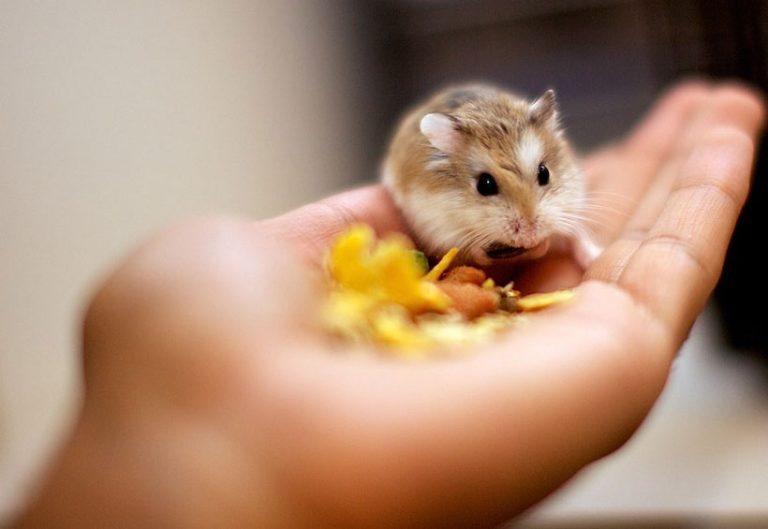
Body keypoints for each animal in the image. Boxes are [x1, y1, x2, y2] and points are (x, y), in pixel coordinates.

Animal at [381, 83, 600, 269]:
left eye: (544, 173)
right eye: (485, 185)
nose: (530, 237)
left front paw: (543, 244)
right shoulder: (440, 230)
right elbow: (476, 253)